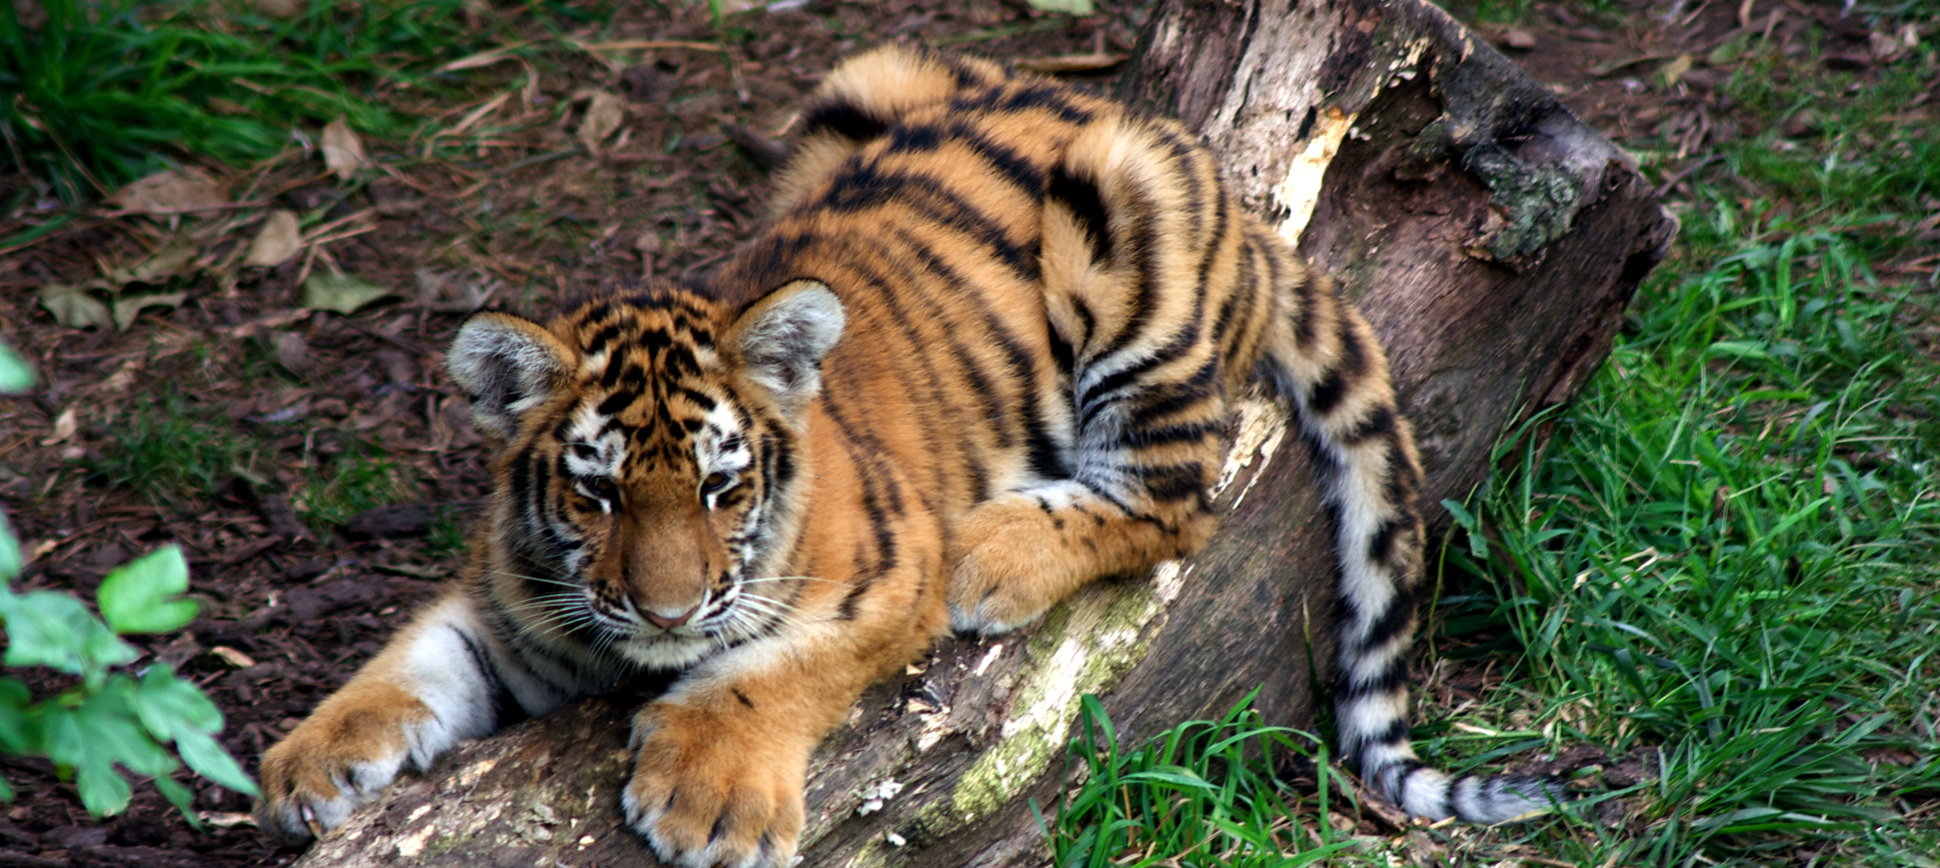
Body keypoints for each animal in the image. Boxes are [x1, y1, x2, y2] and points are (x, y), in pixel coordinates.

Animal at [256, 44, 1558, 866]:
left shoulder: (880, 576)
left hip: (1128, 244)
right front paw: (307, 763)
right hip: (861, 82)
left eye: (721, 489)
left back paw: (998, 552)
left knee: (1177, 502)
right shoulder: (508, 601)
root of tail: (1229, 204)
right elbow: (403, 664)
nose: (666, 613)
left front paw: (707, 794)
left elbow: (776, 668)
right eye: (597, 495)